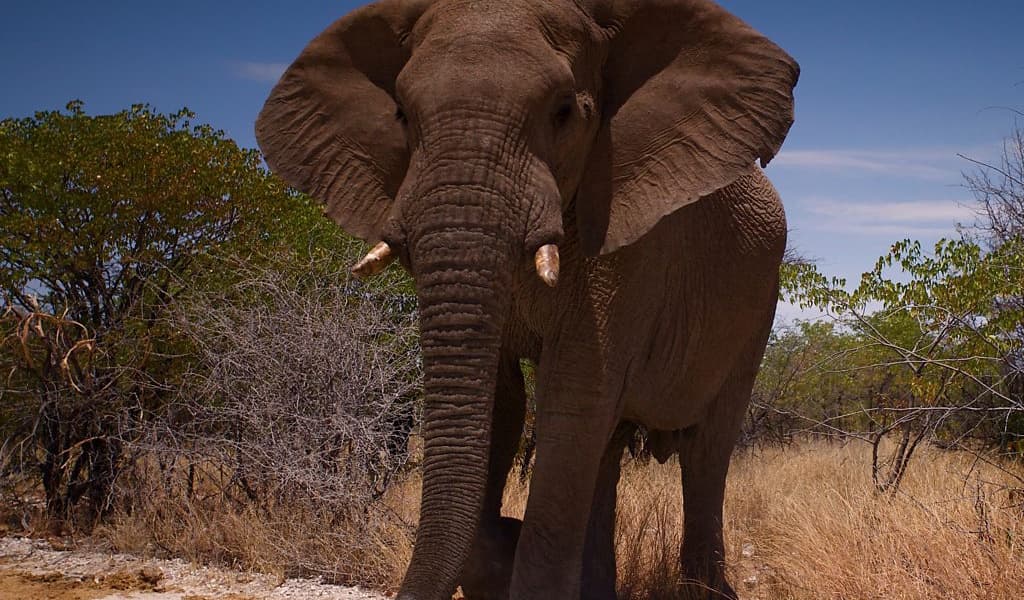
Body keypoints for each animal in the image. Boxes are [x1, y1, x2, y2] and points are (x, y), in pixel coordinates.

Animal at [255, 0, 798, 598]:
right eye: (402, 116)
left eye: (563, 112)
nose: (506, 526)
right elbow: (504, 400)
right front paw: (494, 550)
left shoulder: (627, 237)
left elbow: (572, 393)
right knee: (609, 448)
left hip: (756, 307)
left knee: (705, 449)